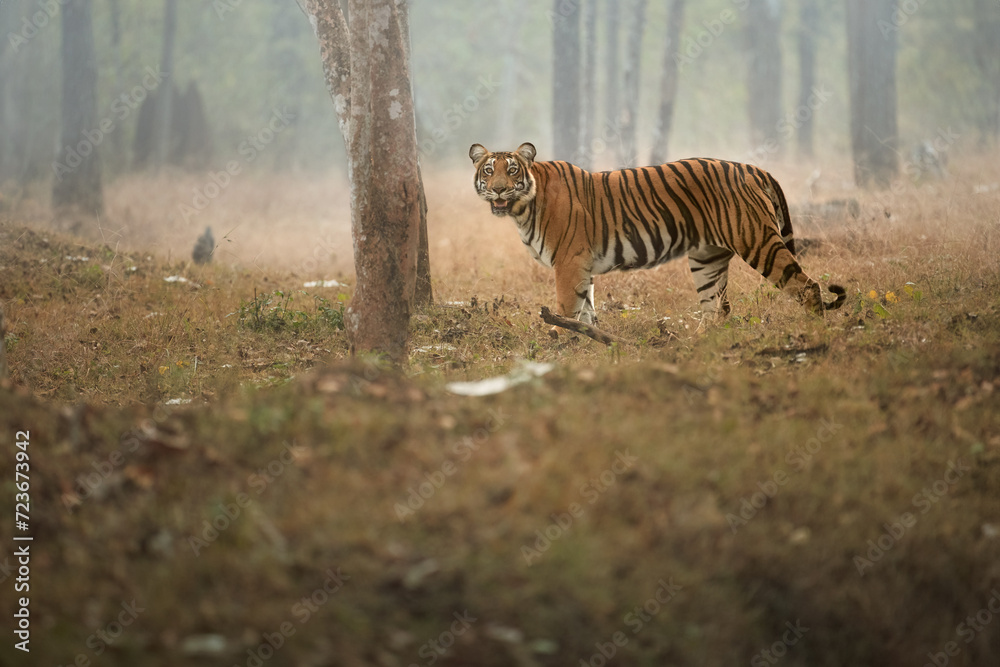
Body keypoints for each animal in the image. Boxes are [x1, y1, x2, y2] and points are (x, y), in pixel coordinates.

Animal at [469, 142, 845, 324]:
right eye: (488, 171)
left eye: (512, 170)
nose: (499, 190)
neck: (523, 208)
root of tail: (753, 168)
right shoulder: (581, 268)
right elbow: (587, 312)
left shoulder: (569, 263)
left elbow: (565, 312)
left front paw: (561, 348)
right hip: (707, 258)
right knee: (717, 308)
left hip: (758, 241)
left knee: (806, 285)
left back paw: (815, 329)